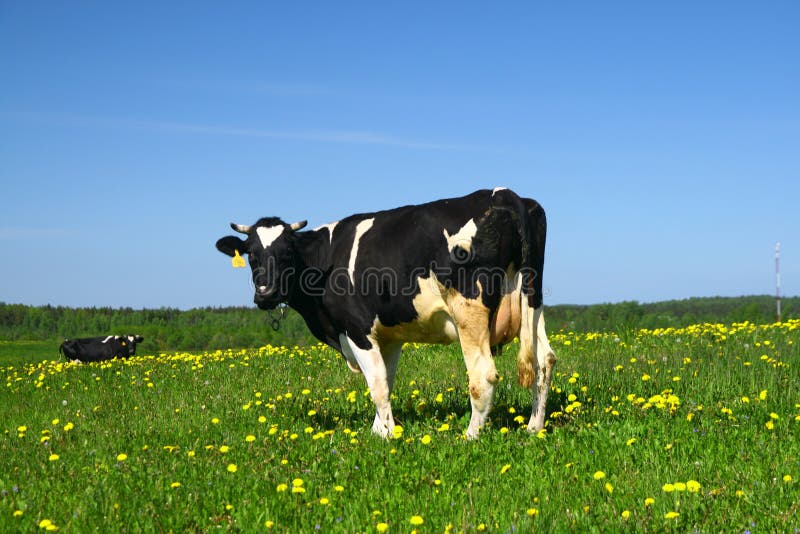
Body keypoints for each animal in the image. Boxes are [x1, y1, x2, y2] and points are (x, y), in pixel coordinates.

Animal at [216, 188, 556, 438]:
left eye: (287, 253)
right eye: (251, 256)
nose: (266, 294)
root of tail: (505, 193)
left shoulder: (357, 329)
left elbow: (377, 383)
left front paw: (389, 435)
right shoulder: (389, 336)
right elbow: (386, 380)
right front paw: (378, 430)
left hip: (469, 311)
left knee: (483, 375)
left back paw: (470, 435)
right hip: (532, 300)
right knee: (544, 361)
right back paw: (533, 428)